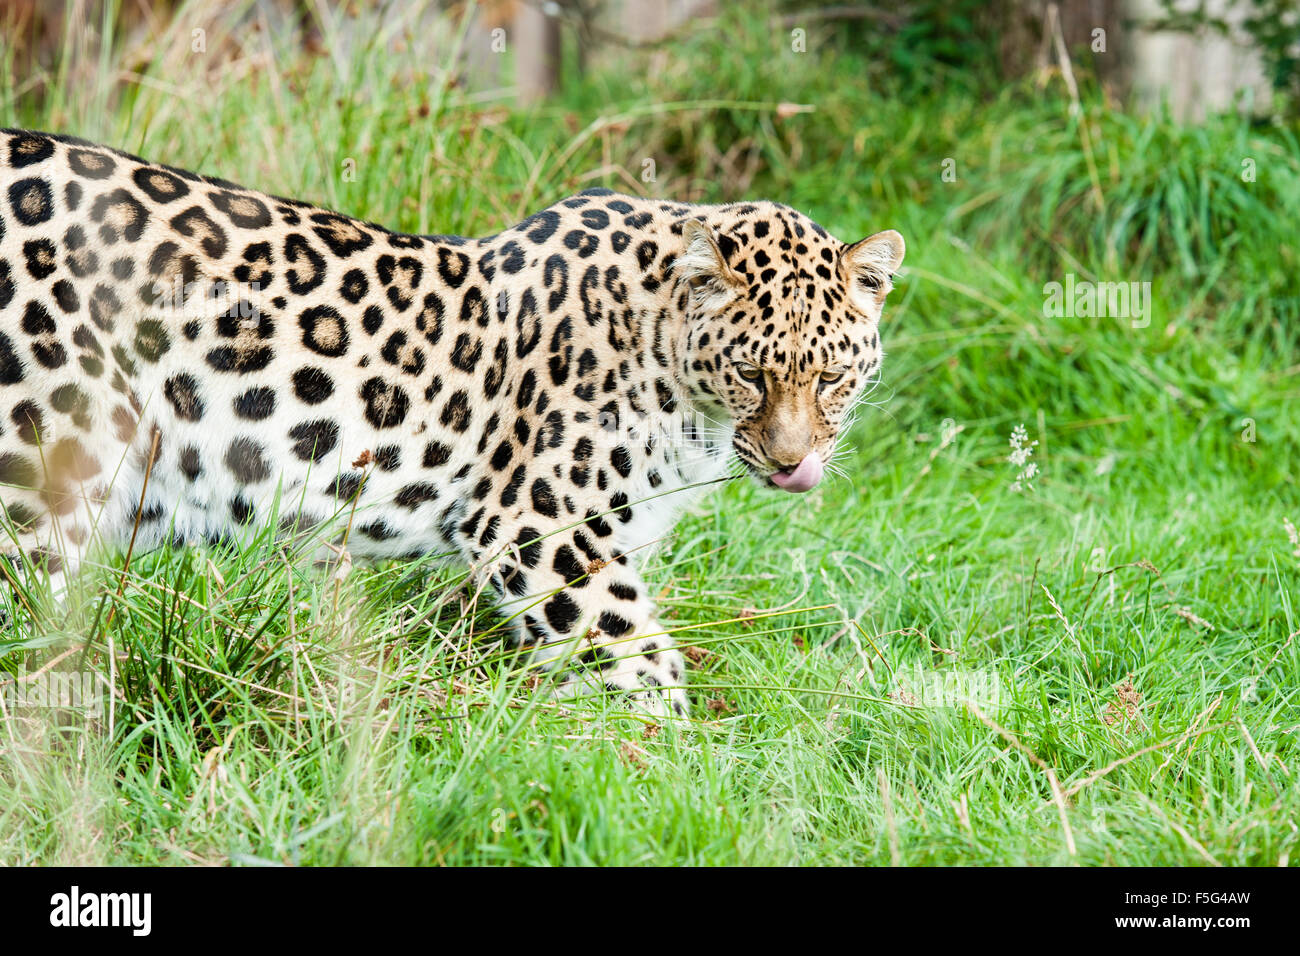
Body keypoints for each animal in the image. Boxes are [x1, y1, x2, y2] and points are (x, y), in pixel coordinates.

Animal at [0, 128, 905, 716]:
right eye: (752, 374)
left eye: (832, 378)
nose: (793, 464)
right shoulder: (540, 526)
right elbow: (637, 662)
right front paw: (676, 773)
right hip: (43, 479)